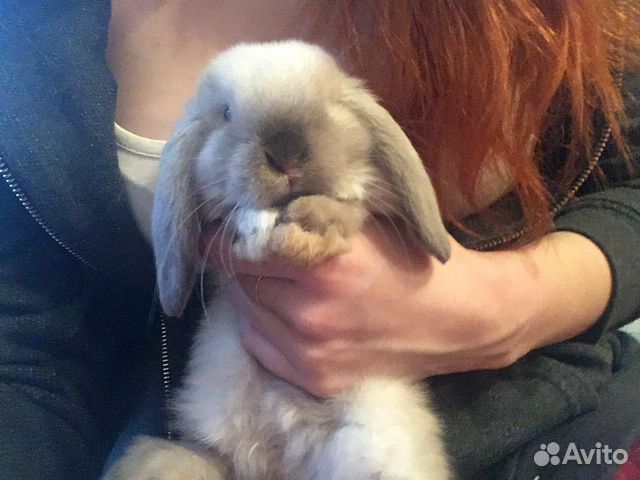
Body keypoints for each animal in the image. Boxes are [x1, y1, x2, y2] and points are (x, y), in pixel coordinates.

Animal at [108, 40, 453, 480]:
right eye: (226, 114)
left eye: (329, 104)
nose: (286, 153)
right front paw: (264, 233)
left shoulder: (351, 211)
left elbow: (343, 209)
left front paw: (301, 232)